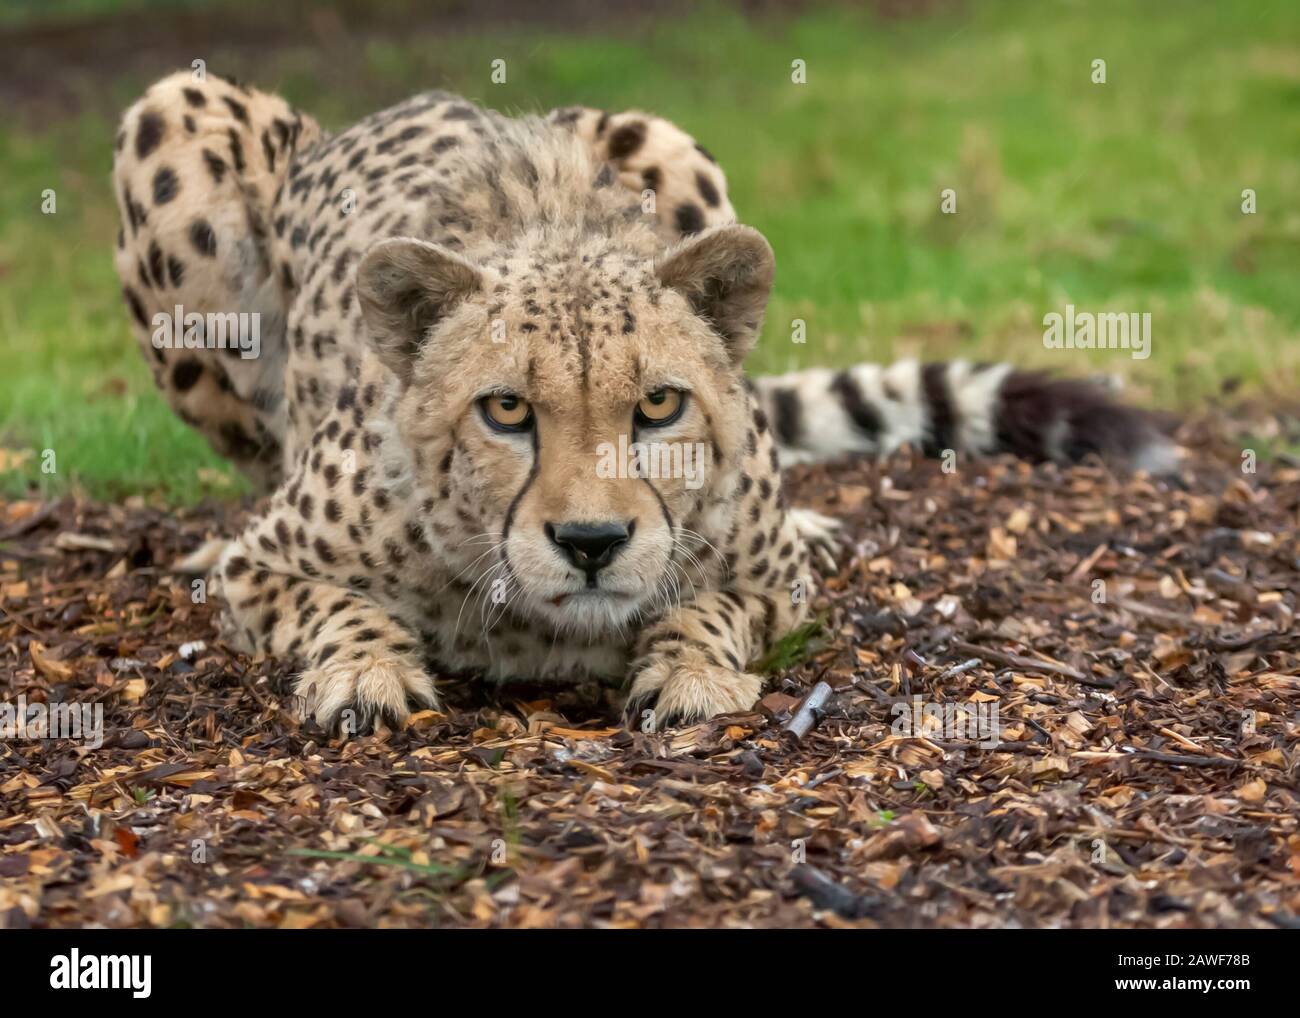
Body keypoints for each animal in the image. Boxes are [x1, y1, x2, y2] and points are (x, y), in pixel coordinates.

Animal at [111, 71, 1176, 733]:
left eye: (659, 405)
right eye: (506, 412)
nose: (591, 542)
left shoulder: (774, 581)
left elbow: (711, 603)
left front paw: (694, 672)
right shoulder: (264, 566)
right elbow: (332, 605)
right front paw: (367, 670)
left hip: (662, 143)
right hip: (175, 119)